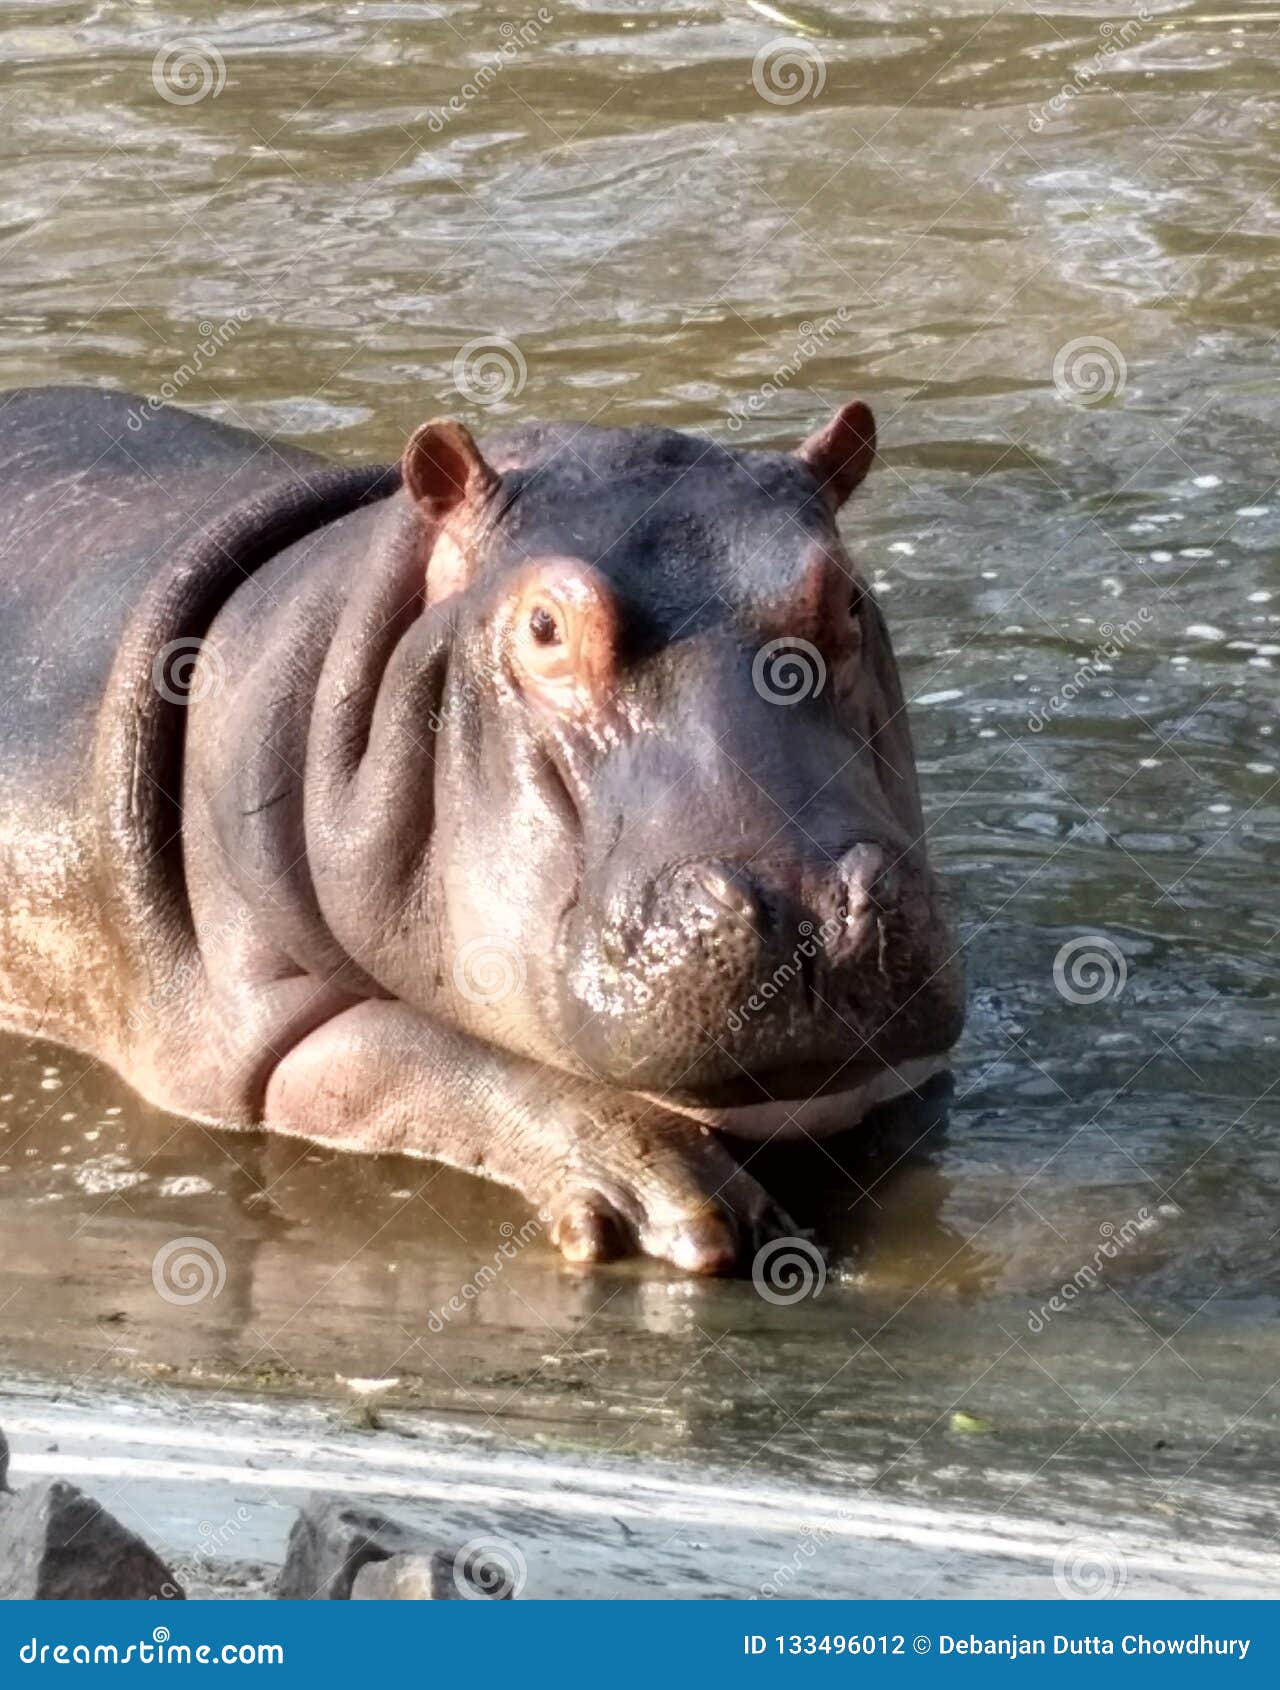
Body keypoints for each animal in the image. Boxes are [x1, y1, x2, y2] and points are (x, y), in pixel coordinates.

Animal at [0, 385, 962, 1273]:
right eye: (543, 625)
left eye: (848, 600)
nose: (812, 920)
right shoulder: (251, 1029)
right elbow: (419, 1050)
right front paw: (673, 1197)